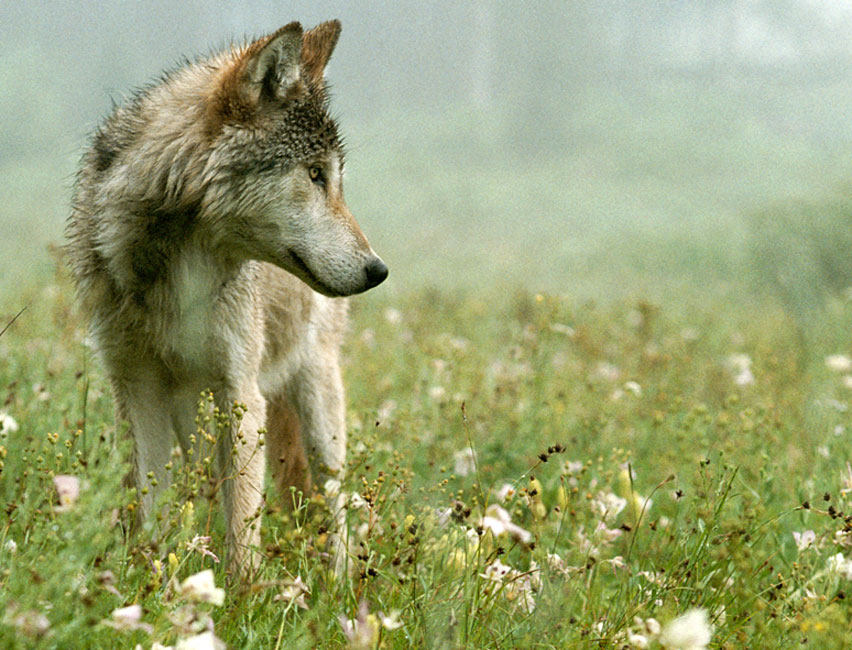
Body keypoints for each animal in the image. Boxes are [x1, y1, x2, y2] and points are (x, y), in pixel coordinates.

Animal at [64, 20, 387, 574]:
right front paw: (150, 583)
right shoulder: (137, 388)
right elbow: (149, 513)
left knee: (335, 498)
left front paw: (245, 593)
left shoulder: (240, 390)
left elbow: (243, 530)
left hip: (315, 401)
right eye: (315, 174)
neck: (179, 266)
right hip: (195, 417)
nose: (378, 270)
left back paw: (340, 581)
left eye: (334, 179)